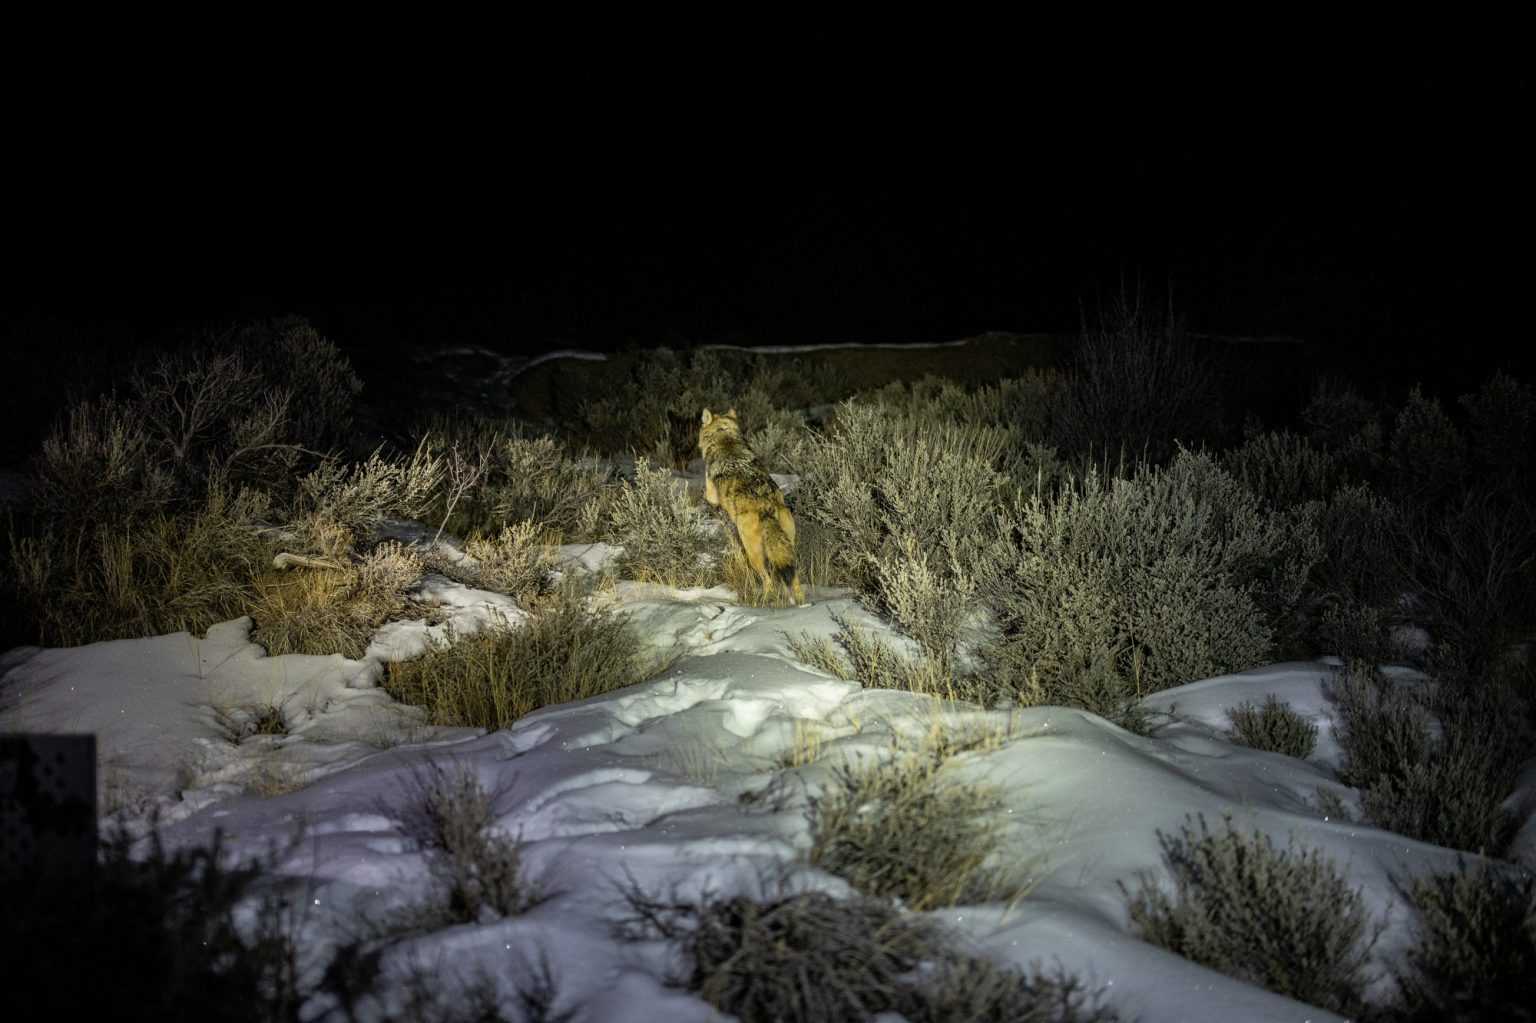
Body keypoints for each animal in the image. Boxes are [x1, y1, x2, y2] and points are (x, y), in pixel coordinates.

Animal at [699, 408, 805, 604]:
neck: (723, 434)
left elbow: (708, 497)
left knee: (768, 580)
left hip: (753, 554)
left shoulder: (711, 492)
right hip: (788, 549)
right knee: (792, 579)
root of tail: (767, 505)